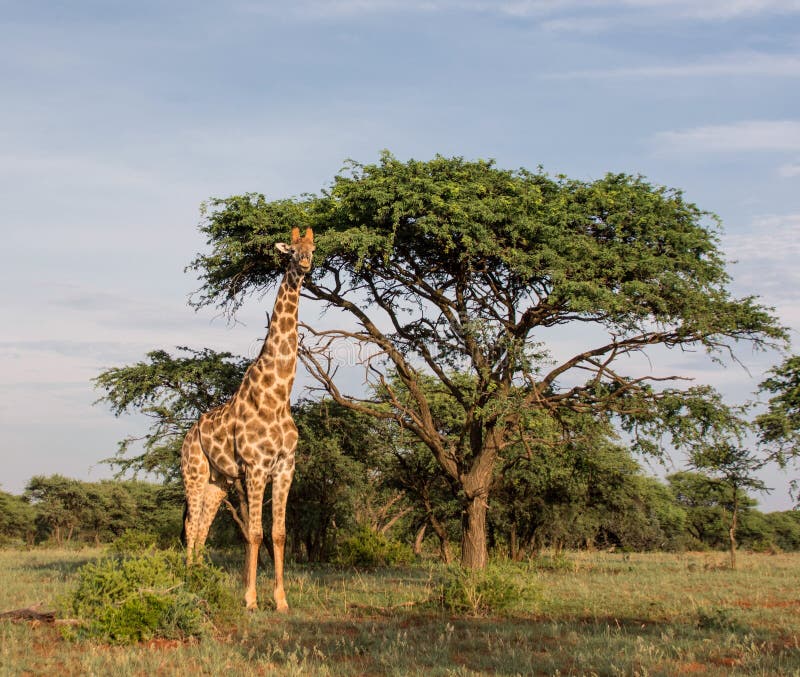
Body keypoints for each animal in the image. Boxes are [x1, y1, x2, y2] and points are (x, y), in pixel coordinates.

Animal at [181, 226, 315, 612]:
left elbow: (279, 533)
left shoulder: (285, 466)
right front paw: (251, 599)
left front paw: (281, 601)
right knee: (192, 527)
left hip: (217, 482)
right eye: (290, 251)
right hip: (193, 474)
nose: (304, 264)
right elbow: (254, 533)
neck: (279, 394)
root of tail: (187, 435)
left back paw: (200, 582)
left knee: (201, 530)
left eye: (314, 248)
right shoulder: (255, 467)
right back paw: (187, 583)